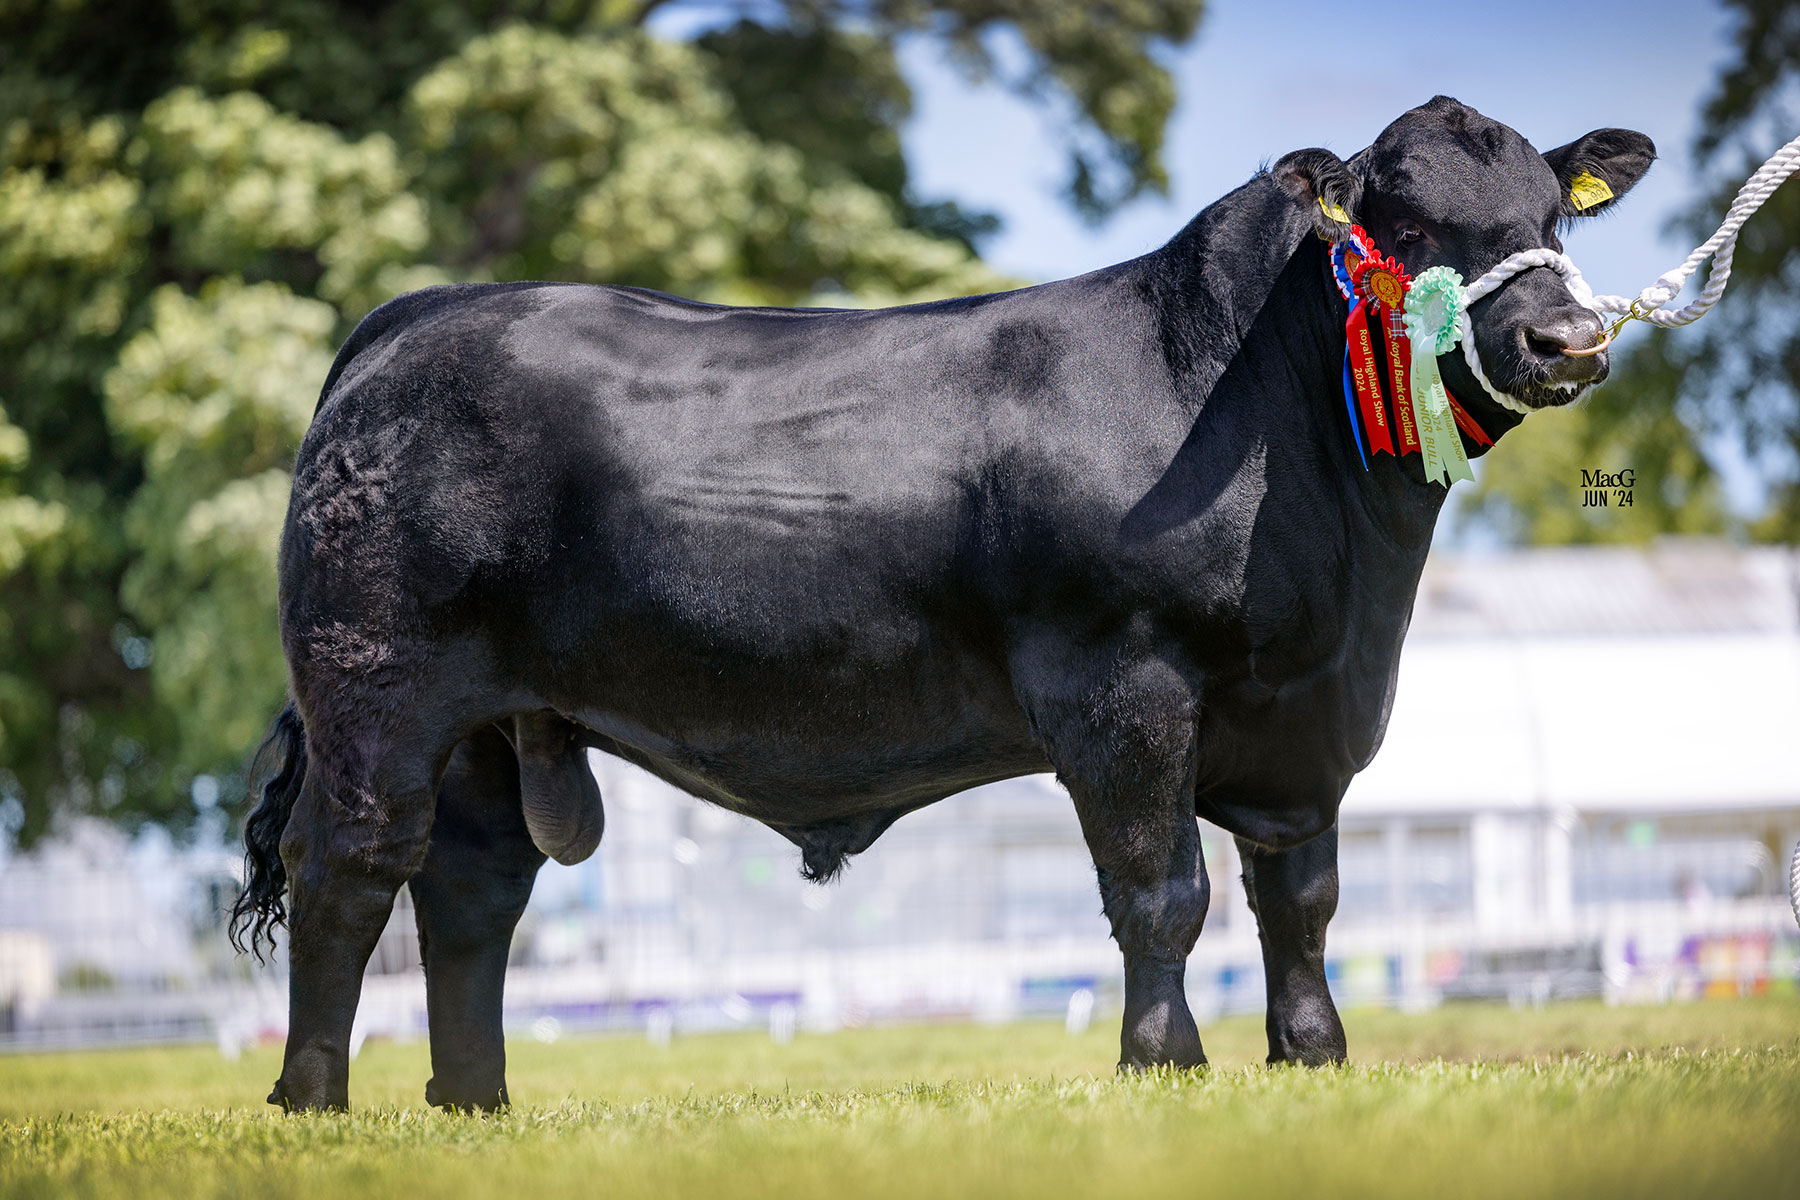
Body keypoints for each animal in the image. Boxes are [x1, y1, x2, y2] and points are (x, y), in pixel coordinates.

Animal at [230, 96, 1654, 1111]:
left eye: (1554, 215)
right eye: (1408, 230)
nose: (1569, 340)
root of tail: (416, 319)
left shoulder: (1310, 713)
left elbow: (1299, 898)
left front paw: (1313, 1060)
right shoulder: (1121, 683)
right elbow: (1162, 887)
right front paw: (1165, 1064)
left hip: (490, 723)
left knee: (470, 893)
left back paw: (474, 1108)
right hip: (379, 686)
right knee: (349, 867)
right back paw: (313, 1103)